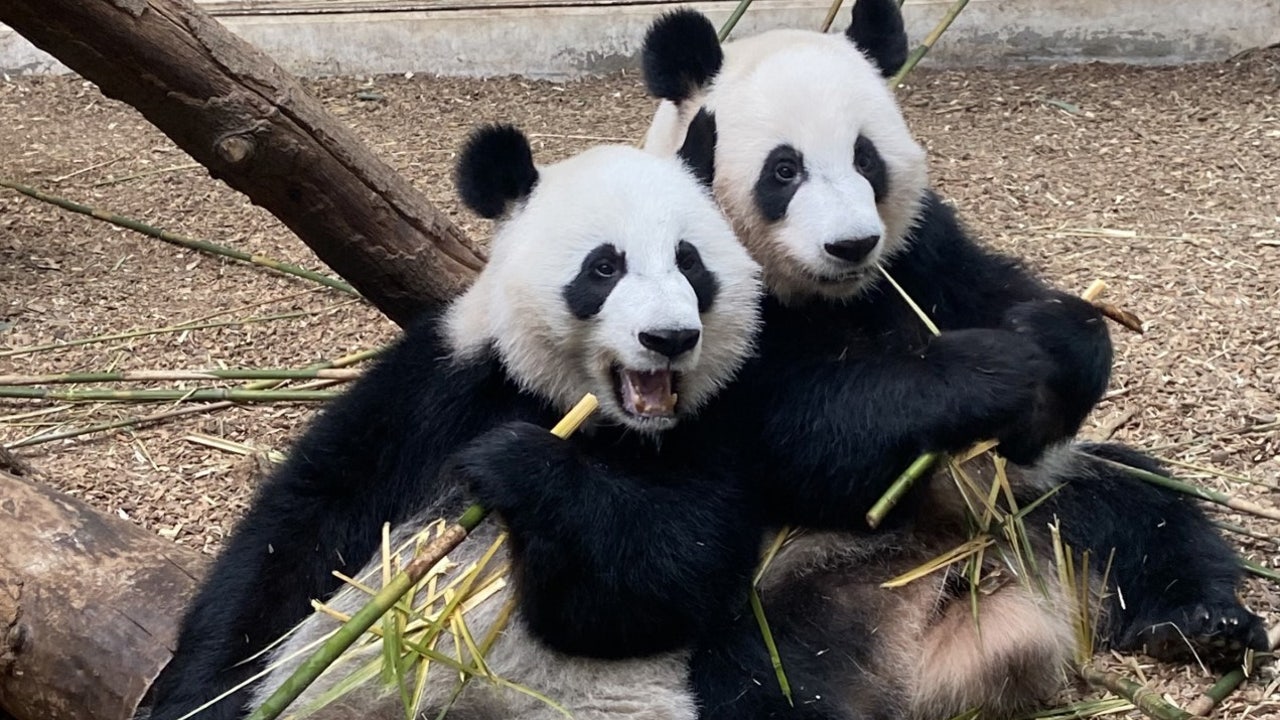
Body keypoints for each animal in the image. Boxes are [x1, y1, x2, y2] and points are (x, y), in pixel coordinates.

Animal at [144, 124, 766, 720]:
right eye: (605, 267)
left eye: (689, 261)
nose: (670, 338)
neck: (579, 411)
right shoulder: (435, 386)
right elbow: (302, 530)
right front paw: (199, 693)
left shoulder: (717, 424)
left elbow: (672, 568)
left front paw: (516, 464)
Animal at [638, 3, 1268, 718]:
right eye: (784, 170)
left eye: (866, 158)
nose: (851, 245)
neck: (829, 295)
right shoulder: (704, 305)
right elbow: (803, 434)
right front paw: (986, 373)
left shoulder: (920, 247)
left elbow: (992, 293)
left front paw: (1053, 338)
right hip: (767, 586)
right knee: (752, 673)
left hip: (1035, 501)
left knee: (1145, 512)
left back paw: (1205, 625)